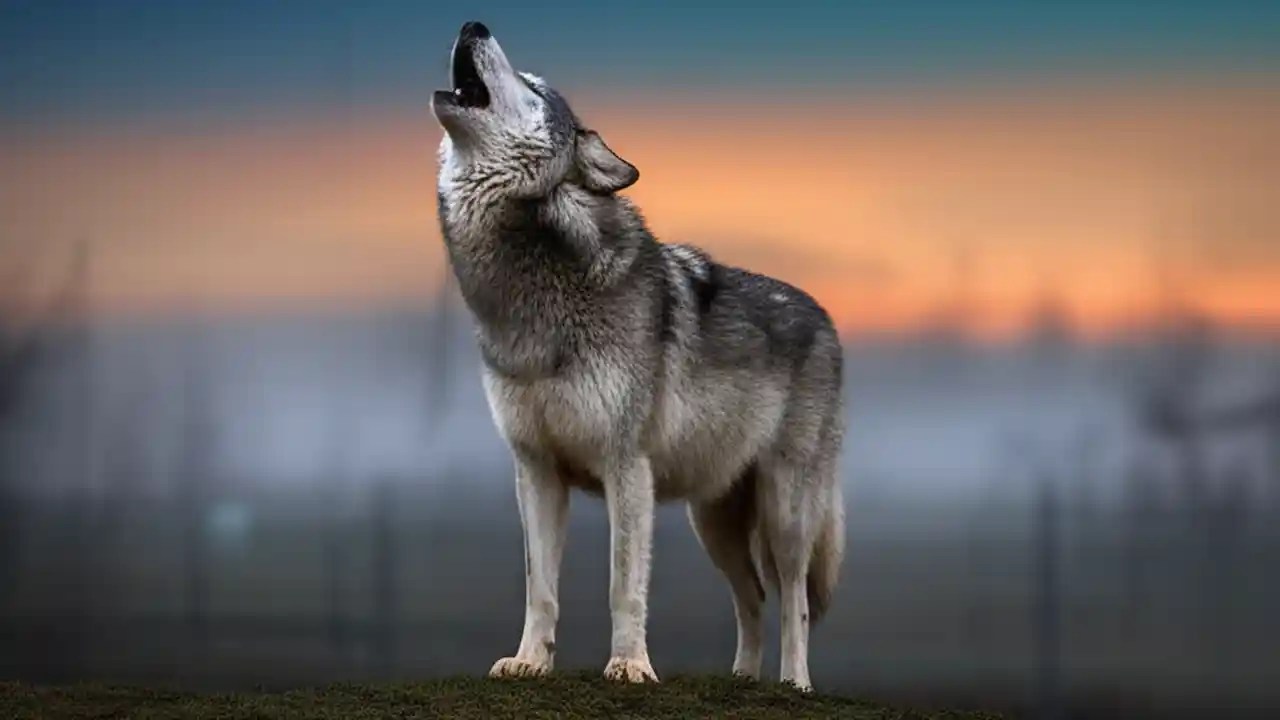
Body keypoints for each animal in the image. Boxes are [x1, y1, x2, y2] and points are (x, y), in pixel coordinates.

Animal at [430, 21, 846, 691]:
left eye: (532, 86)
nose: (474, 25)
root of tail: (827, 315)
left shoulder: (627, 469)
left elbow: (624, 585)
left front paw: (628, 665)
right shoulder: (536, 471)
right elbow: (540, 587)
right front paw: (529, 661)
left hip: (785, 512)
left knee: (795, 598)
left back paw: (794, 685)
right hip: (714, 520)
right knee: (753, 596)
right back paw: (742, 679)